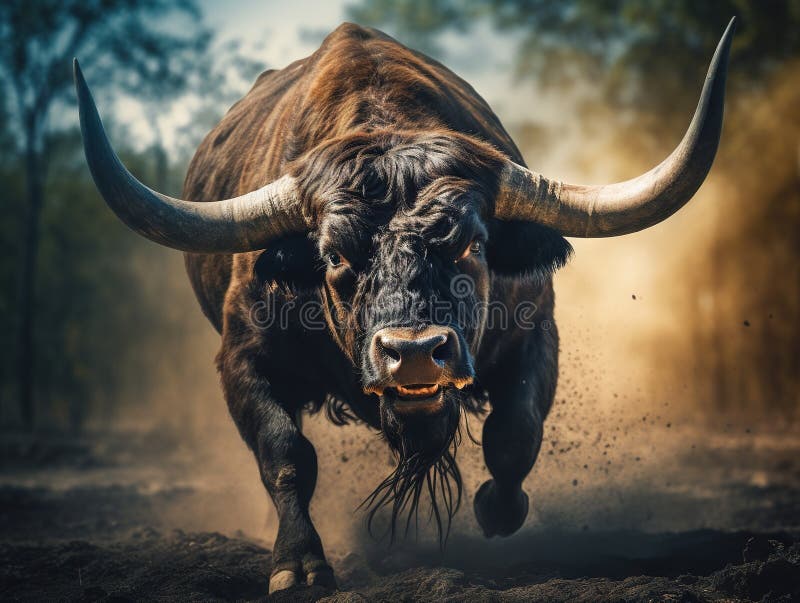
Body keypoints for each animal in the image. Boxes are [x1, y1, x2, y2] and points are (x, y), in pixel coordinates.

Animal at [74, 18, 735, 593]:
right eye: (334, 256)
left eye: (472, 244)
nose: (413, 353)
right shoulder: (242, 358)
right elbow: (285, 455)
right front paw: (298, 566)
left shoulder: (536, 336)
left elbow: (515, 433)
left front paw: (498, 509)